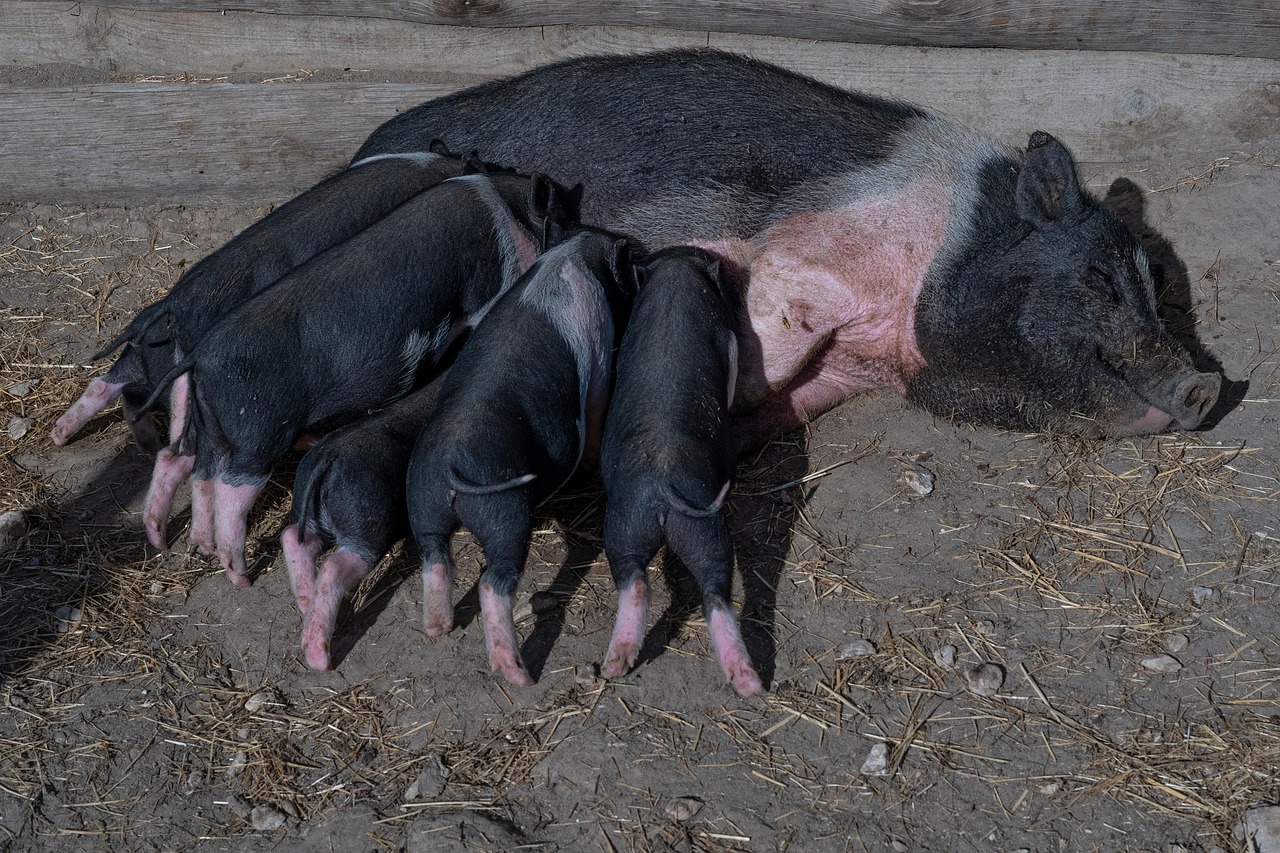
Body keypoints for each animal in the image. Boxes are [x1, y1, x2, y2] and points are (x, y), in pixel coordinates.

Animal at [142, 170, 573, 586]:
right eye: (565, 221)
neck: (510, 211)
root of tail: (198, 358)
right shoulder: (485, 290)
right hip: (258, 431)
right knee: (230, 489)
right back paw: (241, 577)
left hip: (214, 426)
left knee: (198, 471)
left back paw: (193, 546)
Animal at [282, 376, 444, 671]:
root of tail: (328, 458)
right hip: (367, 521)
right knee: (335, 565)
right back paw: (321, 661)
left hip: (308, 512)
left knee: (293, 538)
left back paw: (306, 604)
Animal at [353, 48, 1221, 445]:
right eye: (1099, 276)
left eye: (1154, 280)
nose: (1207, 384)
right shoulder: (815, 251)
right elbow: (778, 320)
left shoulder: (834, 379)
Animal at [406, 228, 633, 687]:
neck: (578, 254)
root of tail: (448, 464)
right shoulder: (600, 350)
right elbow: (597, 404)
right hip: (504, 510)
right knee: (493, 582)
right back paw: (520, 675)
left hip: (421, 501)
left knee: (435, 557)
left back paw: (438, 628)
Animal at [599, 245, 763, 697]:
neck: (675, 272)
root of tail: (661, 486)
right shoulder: (729, 340)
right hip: (702, 521)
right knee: (715, 590)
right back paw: (750, 683)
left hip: (628, 522)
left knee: (636, 580)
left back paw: (615, 664)